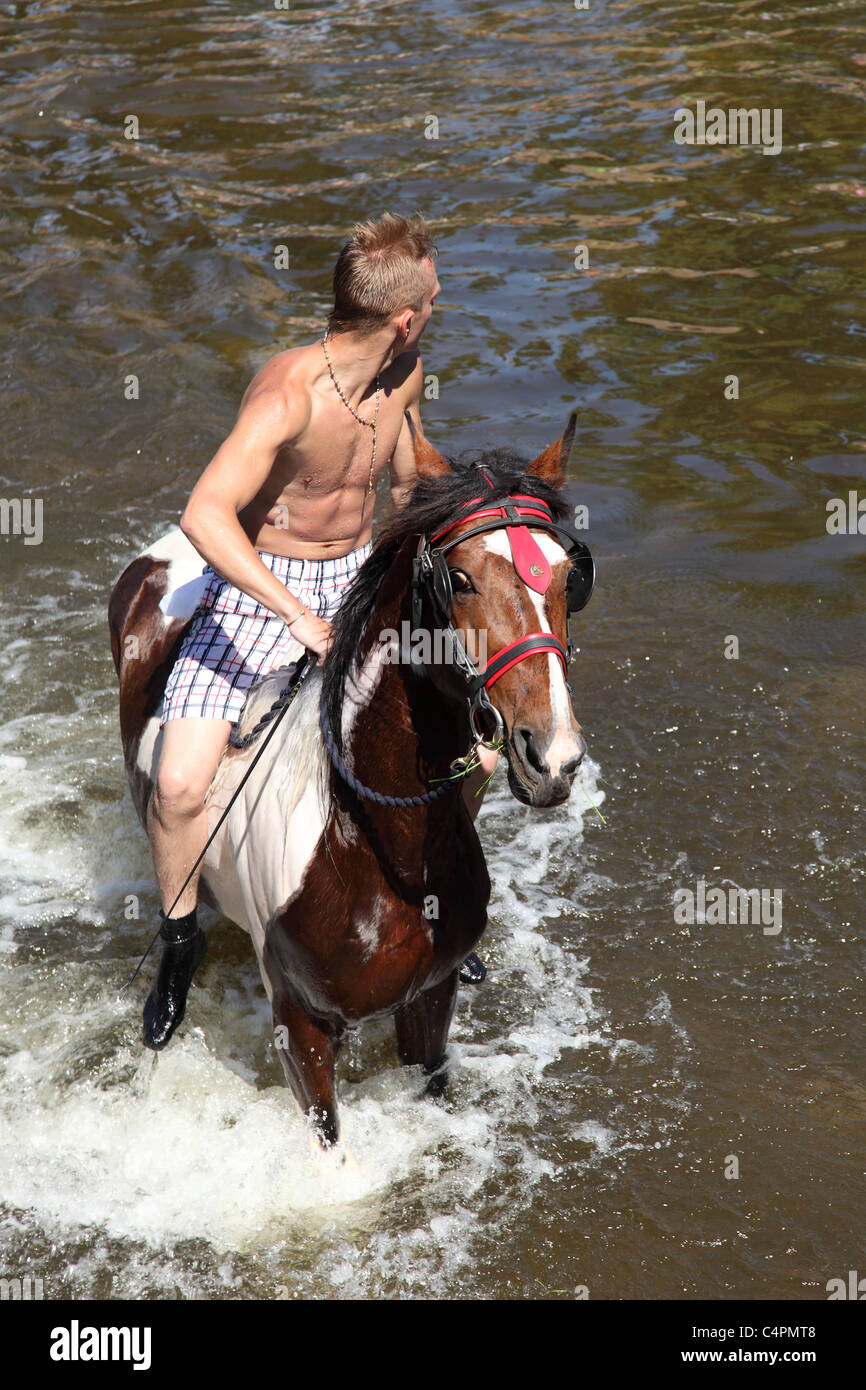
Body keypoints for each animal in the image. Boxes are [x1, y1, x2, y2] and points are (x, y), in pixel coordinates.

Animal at [108, 418, 595, 1148]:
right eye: (459, 580)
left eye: (569, 578)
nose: (553, 754)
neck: (370, 841)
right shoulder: (301, 1025)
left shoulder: (430, 998)